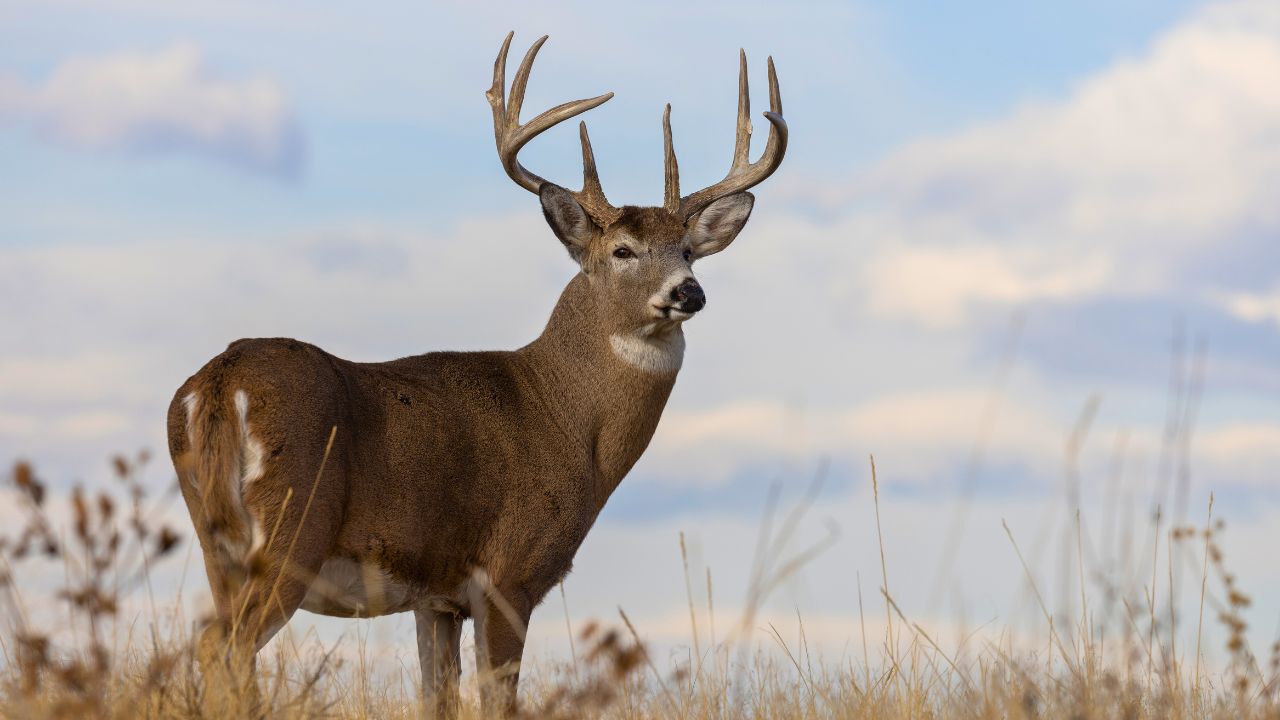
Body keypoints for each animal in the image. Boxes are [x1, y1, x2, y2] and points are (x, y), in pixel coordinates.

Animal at [167, 31, 787, 718]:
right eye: (622, 250)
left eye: (687, 250)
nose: (688, 291)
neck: (563, 416)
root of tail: (217, 383)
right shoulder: (509, 572)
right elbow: (498, 698)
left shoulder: (437, 599)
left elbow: (437, 694)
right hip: (289, 532)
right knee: (221, 647)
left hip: (215, 543)